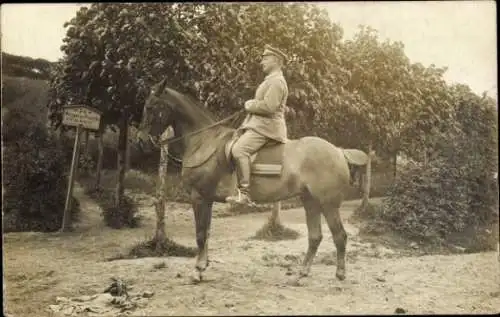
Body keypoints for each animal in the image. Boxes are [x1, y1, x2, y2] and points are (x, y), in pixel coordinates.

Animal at [139, 78, 370, 282]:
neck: (204, 141)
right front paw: (203, 266)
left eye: (150, 107)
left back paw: (339, 274)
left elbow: (200, 234)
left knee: (339, 236)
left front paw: (198, 271)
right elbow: (206, 232)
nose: (141, 141)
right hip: (310, 201)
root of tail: (339, 151)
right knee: (315, 236)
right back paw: (302, 273)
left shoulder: (199, 197)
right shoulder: (208, 199)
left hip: (328, 204)